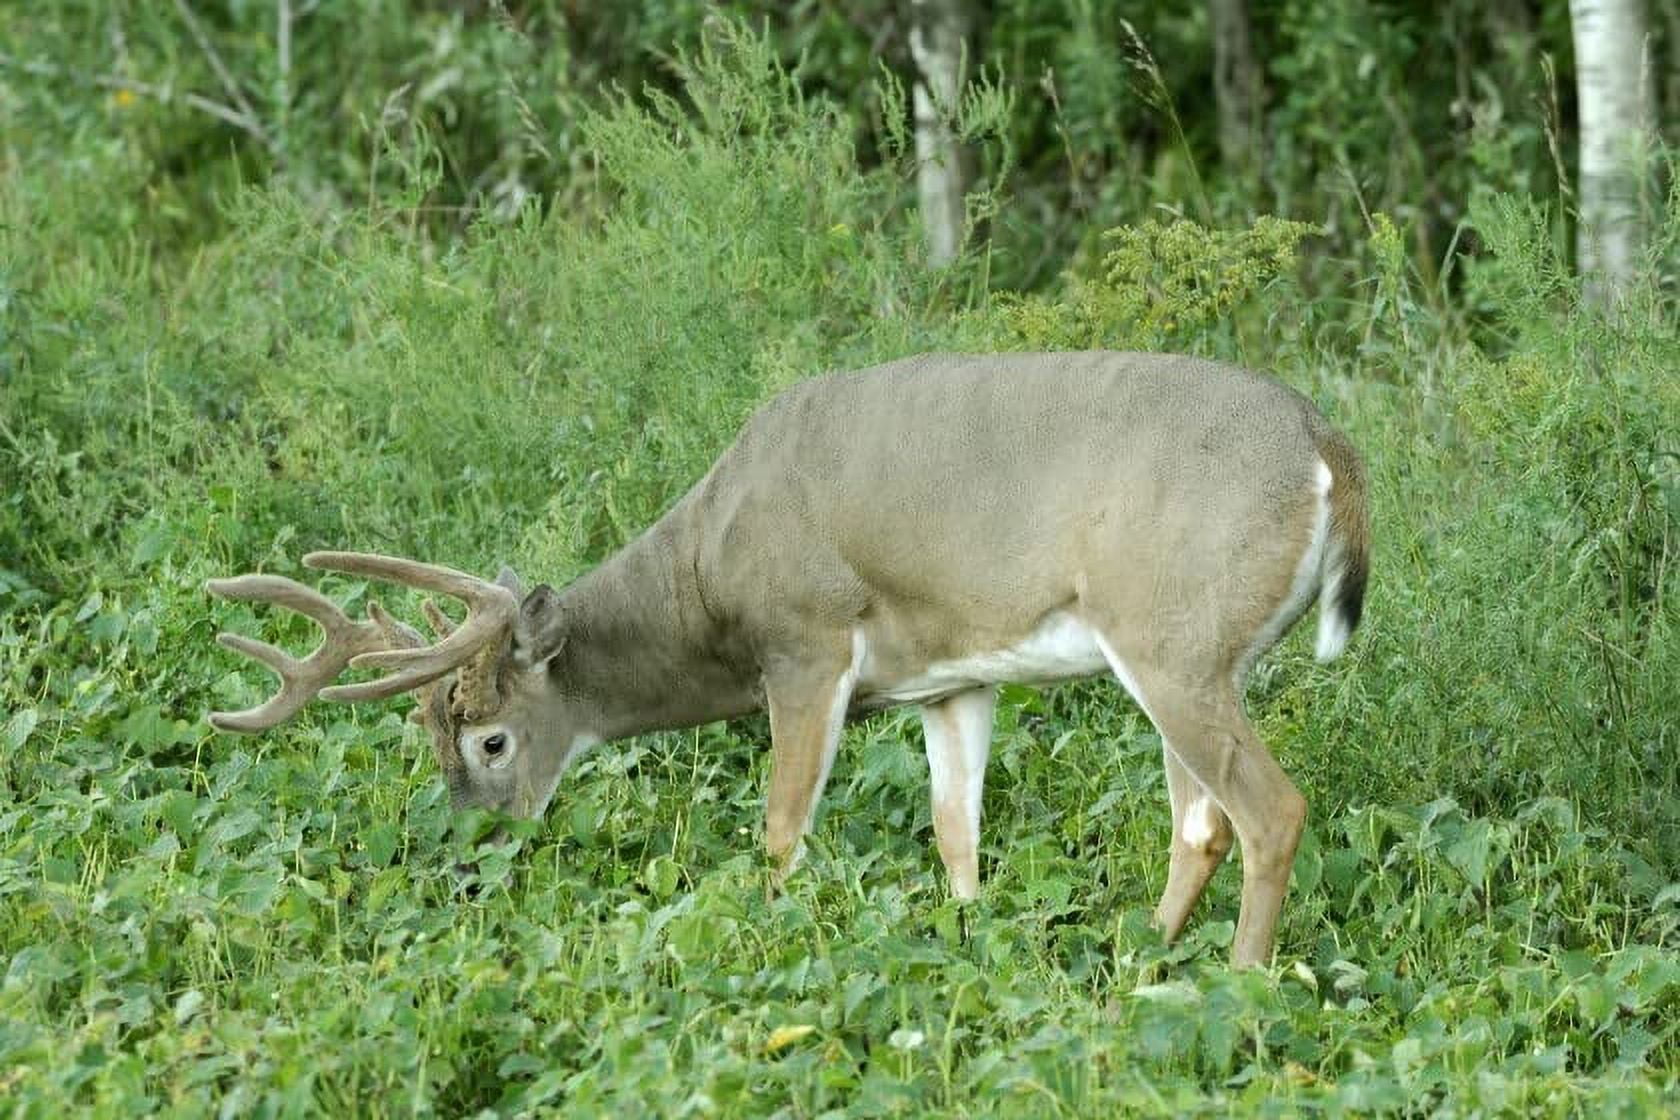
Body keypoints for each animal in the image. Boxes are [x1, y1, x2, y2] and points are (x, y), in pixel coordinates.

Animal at [205, 351, 1369, 967]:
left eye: (490, 738)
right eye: (431, 741)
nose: (470, 853)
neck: (709, 576)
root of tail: (1333, 457)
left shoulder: (807, 641)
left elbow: (778, 831)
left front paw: (765, 942)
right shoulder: (951, 677)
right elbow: (954, 832)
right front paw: (964, 942)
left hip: (1174, 638)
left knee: (1269, 810)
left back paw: (1238, 980)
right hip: (1185, 654)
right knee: (1200, 822)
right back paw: (1145, 950)